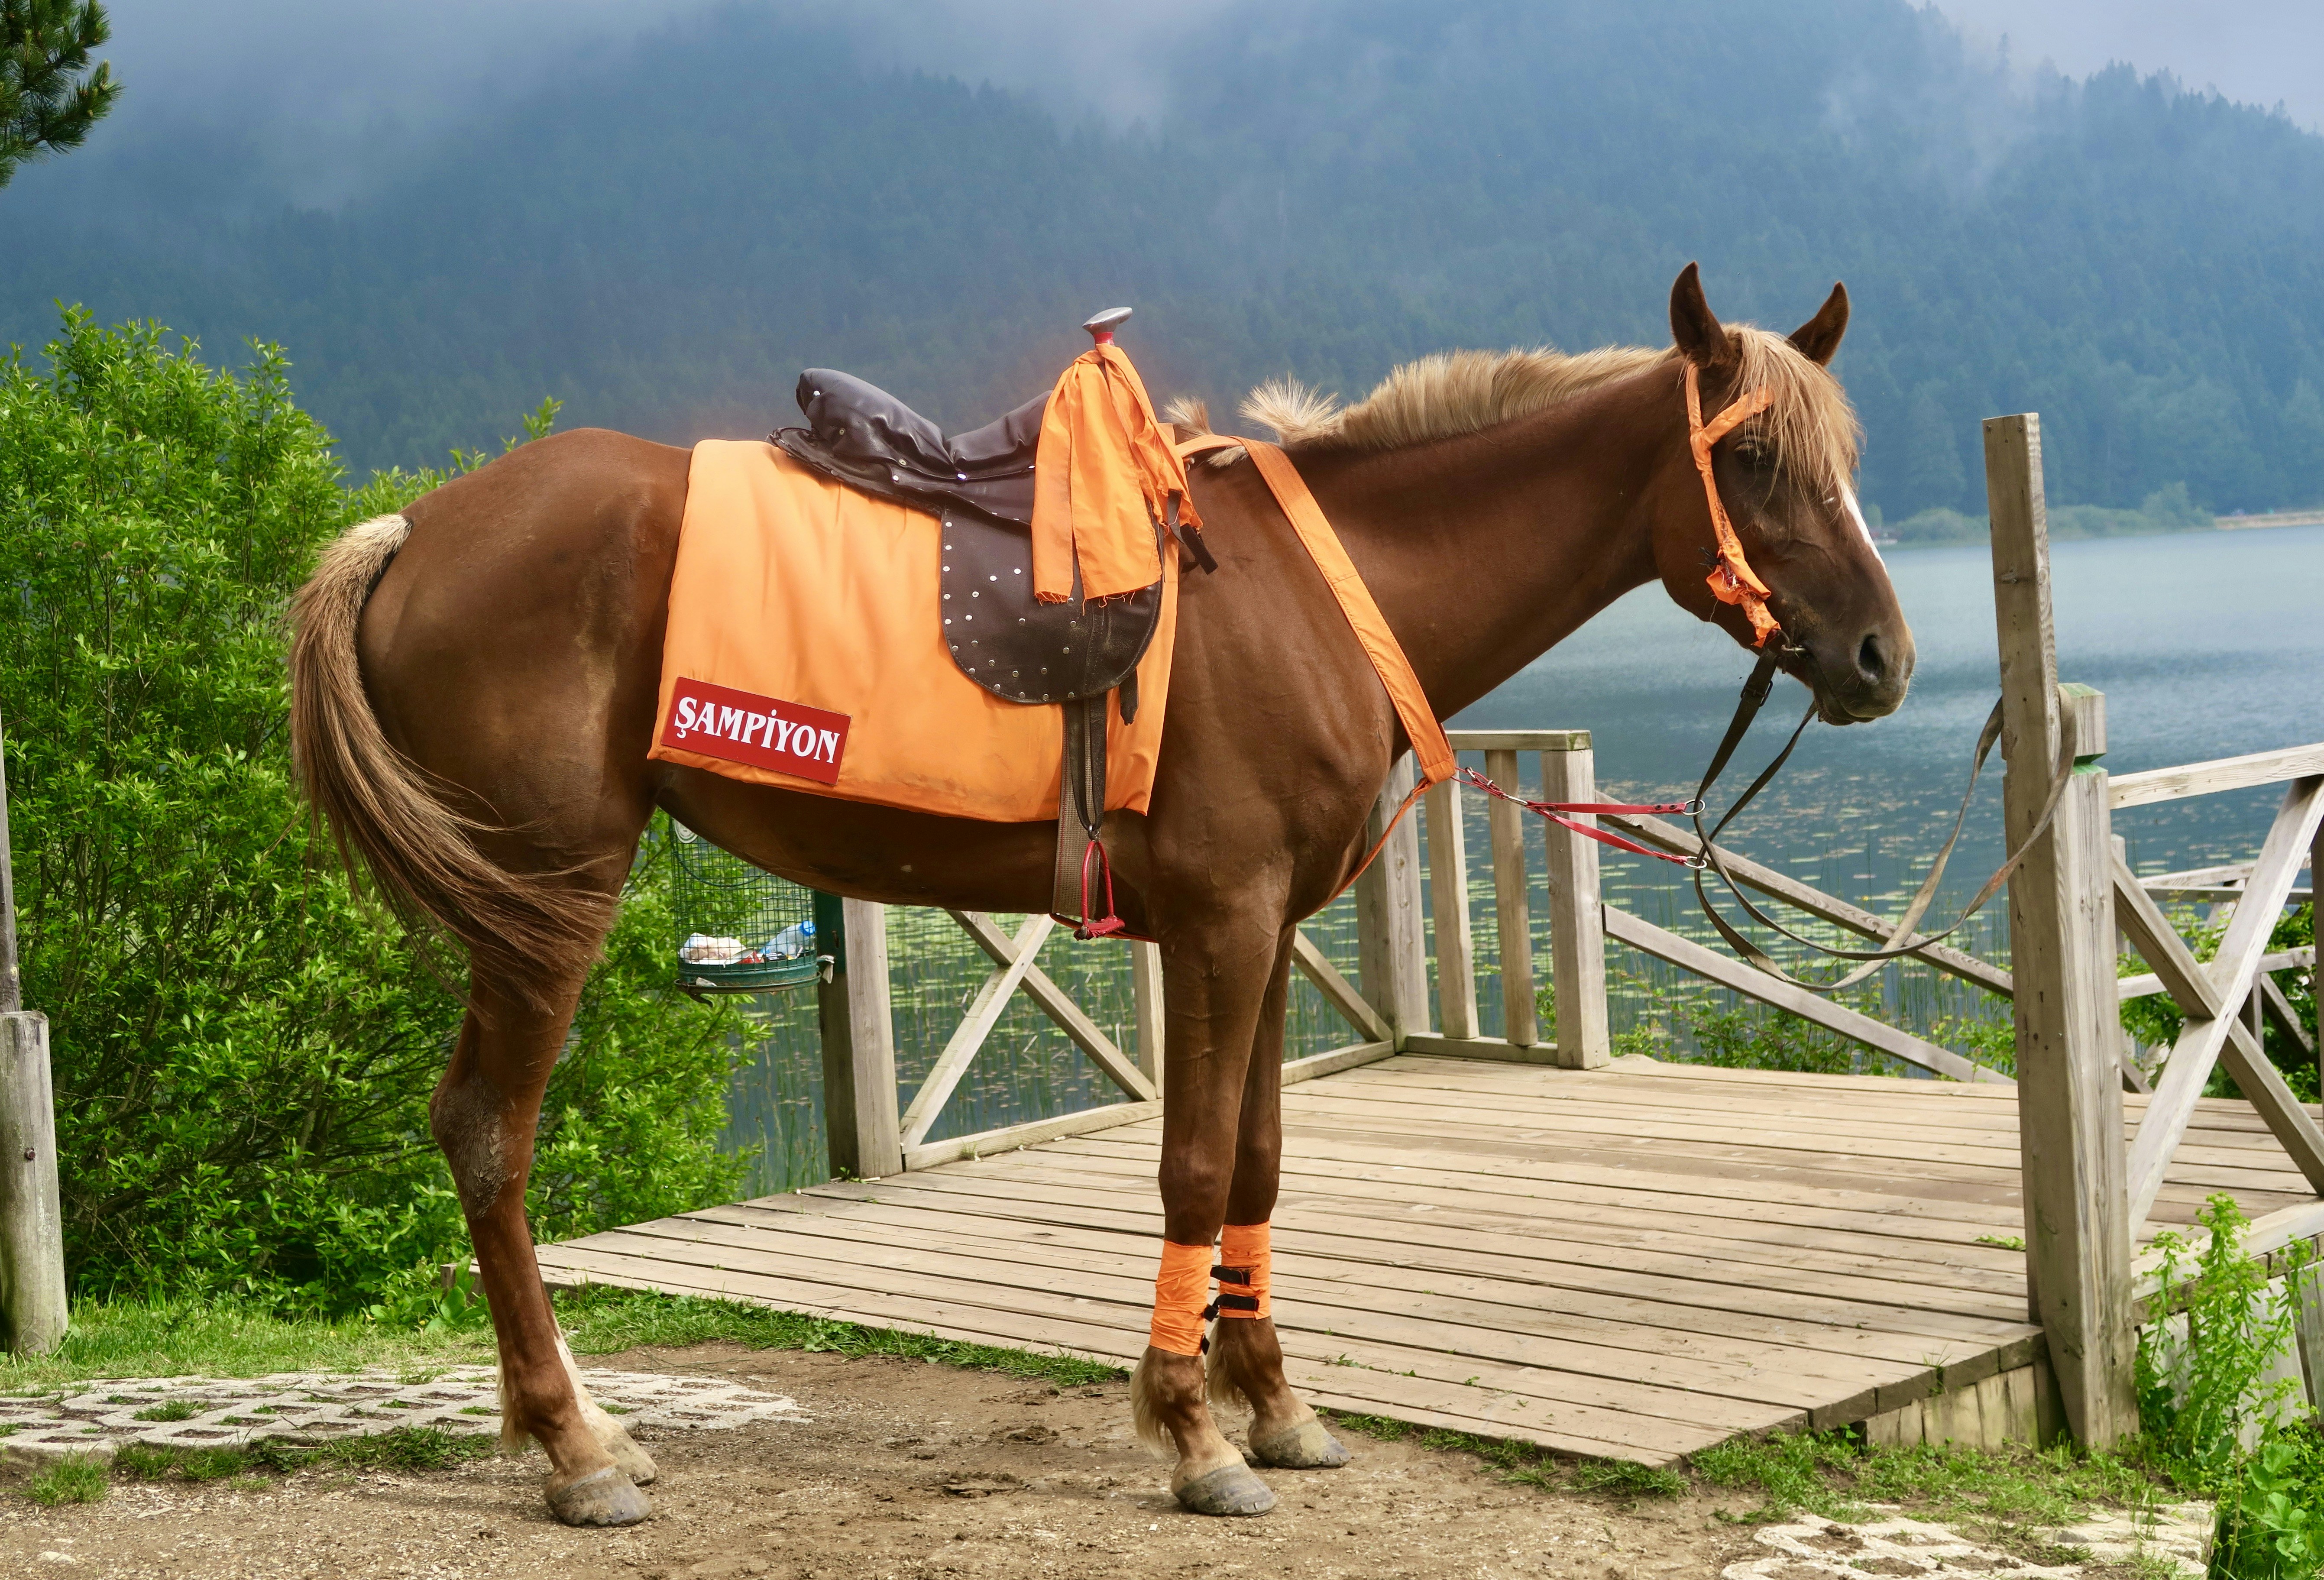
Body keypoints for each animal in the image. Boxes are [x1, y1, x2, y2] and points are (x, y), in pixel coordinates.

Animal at [288, 264, 1912, 1527]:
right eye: (1753, 463)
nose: (1881, 657)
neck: (1319, 592)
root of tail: (415, 531)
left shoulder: (1271, 932)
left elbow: (1256, 1164)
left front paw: (1273, 1406)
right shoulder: (1222, 923)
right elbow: (1192, 1170)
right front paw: (1193, 1436)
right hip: (551, 896)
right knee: (488, 1133)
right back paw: (574, 1449)